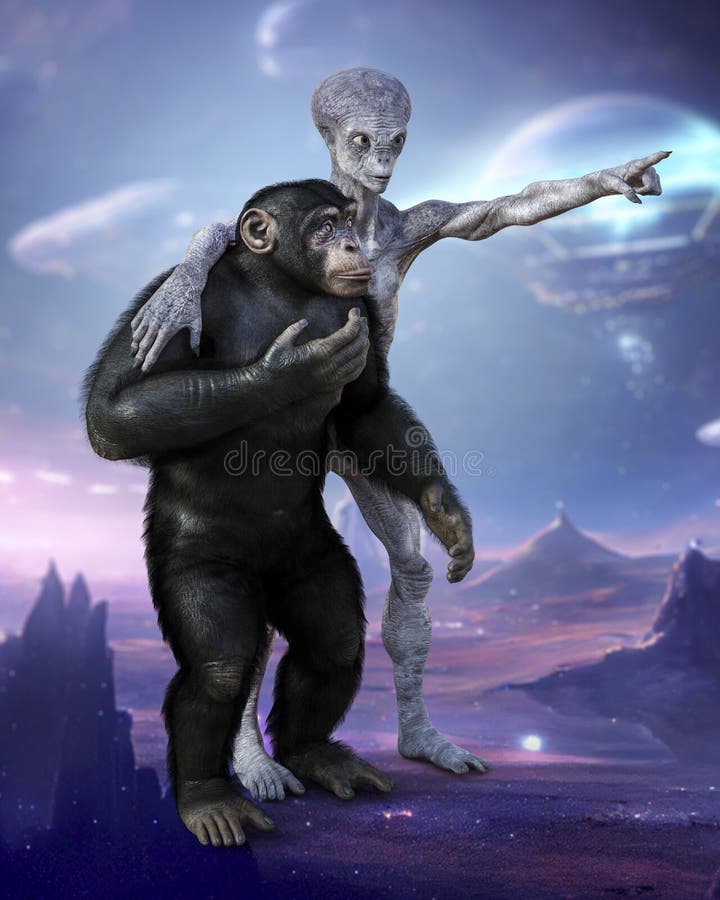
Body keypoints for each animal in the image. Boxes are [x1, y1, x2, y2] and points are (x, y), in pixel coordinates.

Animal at [84, 179, 475, 847]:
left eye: (345, 222)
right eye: (323, 227)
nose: (350, 243)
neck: (280, 286)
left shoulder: (359, 309)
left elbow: (367, 409)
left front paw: (444, 511)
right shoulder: (173, 300)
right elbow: (112, 410)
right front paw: (291, 369)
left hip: (308, 554)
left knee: (333, 641)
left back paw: (312, 752)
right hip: (197, 560)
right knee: (219, 667)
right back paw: (208, 796)